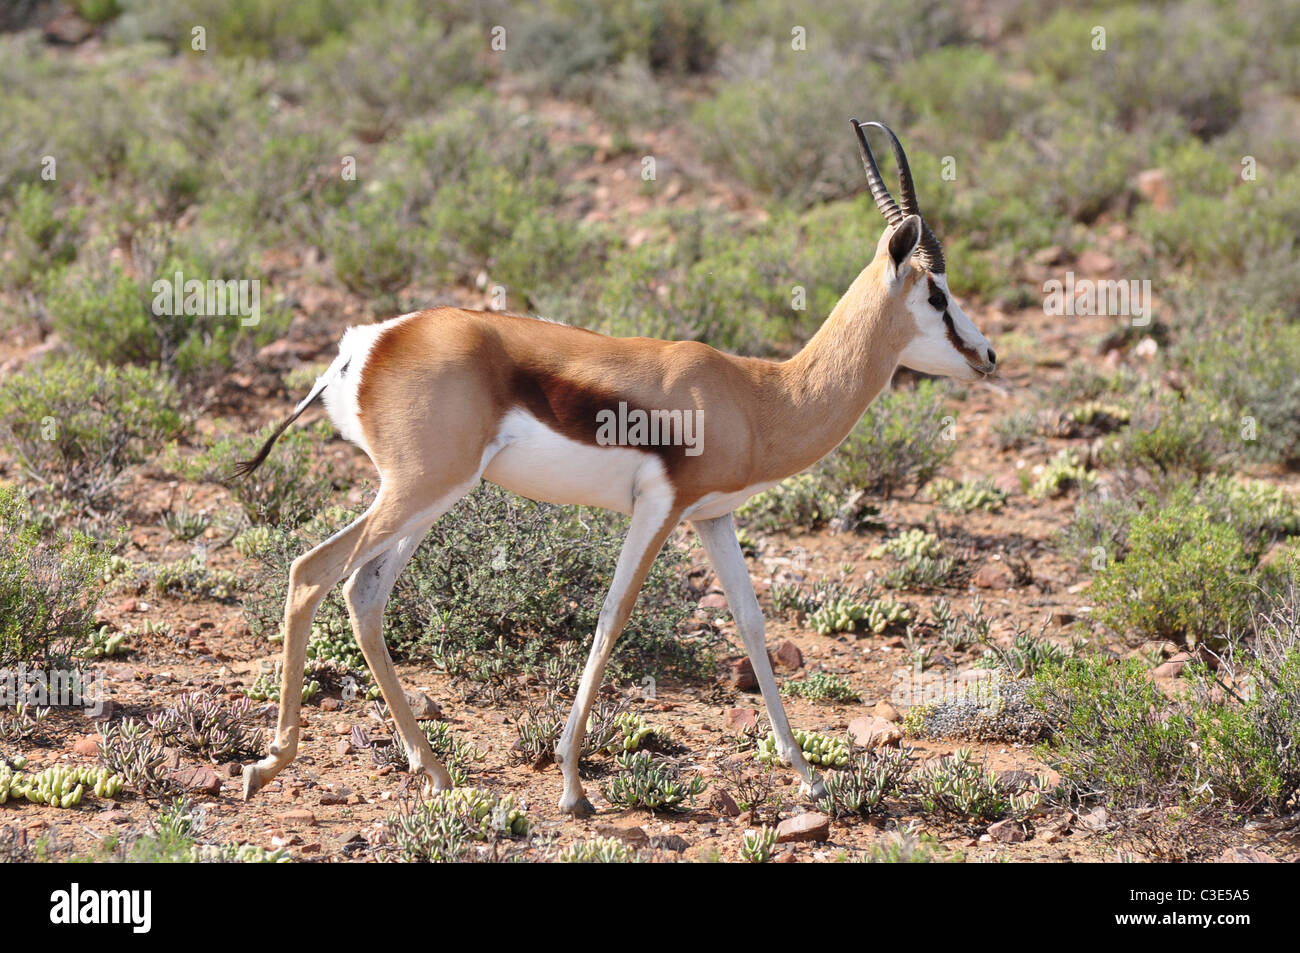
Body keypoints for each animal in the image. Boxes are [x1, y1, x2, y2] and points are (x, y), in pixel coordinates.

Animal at [237, 121, 996, 815]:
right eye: (935, 293)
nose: (988, 355)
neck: (761, 395)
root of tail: (365, 344)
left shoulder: (713, 515)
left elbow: (751, 623)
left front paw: (808, 777)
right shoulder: (660, 509)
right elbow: (613, 614)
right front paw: (574, 785)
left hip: (430, 497)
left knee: (363, 592)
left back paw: (436, 773)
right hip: (421, 489)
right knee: (311, 570)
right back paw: (270, 764)